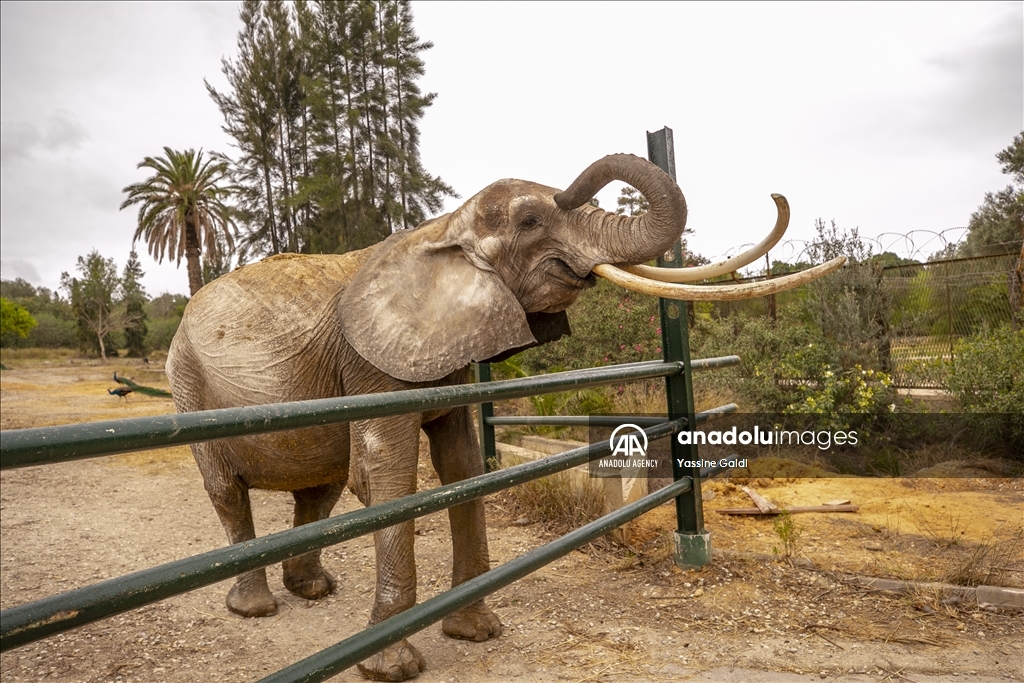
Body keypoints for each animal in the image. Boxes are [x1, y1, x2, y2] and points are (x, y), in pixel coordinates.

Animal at [165, 153, 842, 681]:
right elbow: (385, 476)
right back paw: (254, 608)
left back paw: (311, 590)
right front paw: (392, 667)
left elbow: (461, 465)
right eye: (532, 221)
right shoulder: (372, 363)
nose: (776, 192)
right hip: (187, 387)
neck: (442, 228)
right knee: (229, 489)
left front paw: (477, 631)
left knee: (319, 488)